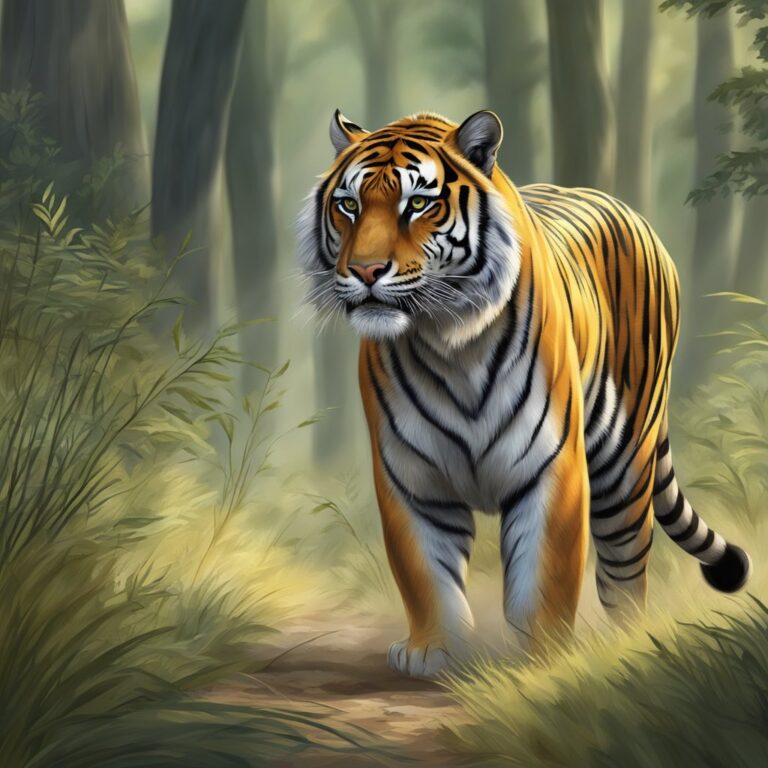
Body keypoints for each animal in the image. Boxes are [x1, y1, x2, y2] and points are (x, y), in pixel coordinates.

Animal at [298, 109, 752, 678]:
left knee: (625, 568)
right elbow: (424, 573)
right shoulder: (411, 477)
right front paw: (434, 650)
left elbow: (546, 571)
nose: (364, 271)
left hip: (626, 466)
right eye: (349, 205)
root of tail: (631, 211)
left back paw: (627, 641)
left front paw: (543, 655)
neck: (450, 341)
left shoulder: (553, 466)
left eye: (418, 204)